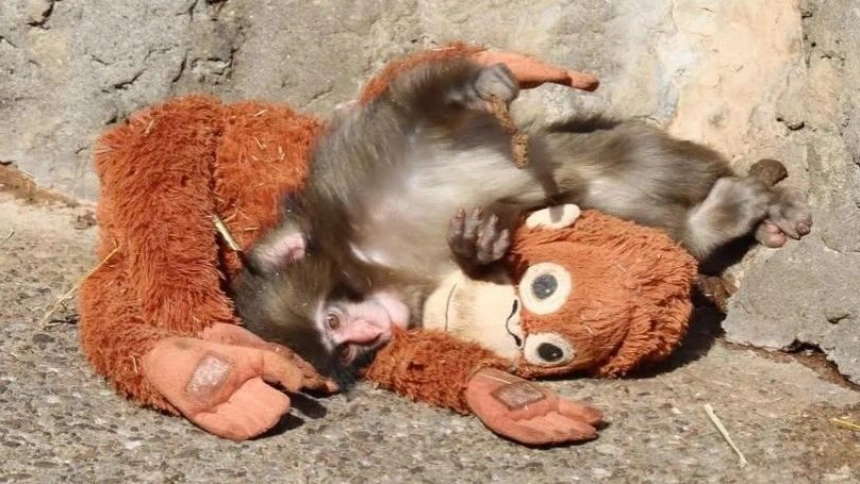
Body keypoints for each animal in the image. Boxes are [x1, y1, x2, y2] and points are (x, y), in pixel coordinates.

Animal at [232, 57, 812, 389]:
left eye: (333, 322)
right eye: (345, 348)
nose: (372, 333)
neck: (378, 258)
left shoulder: (360, 169)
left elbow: (417, 106)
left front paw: (479, 82)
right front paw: (477, 247)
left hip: (623, 151)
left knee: (637, 163)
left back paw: (756, 203)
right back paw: (716, 221)